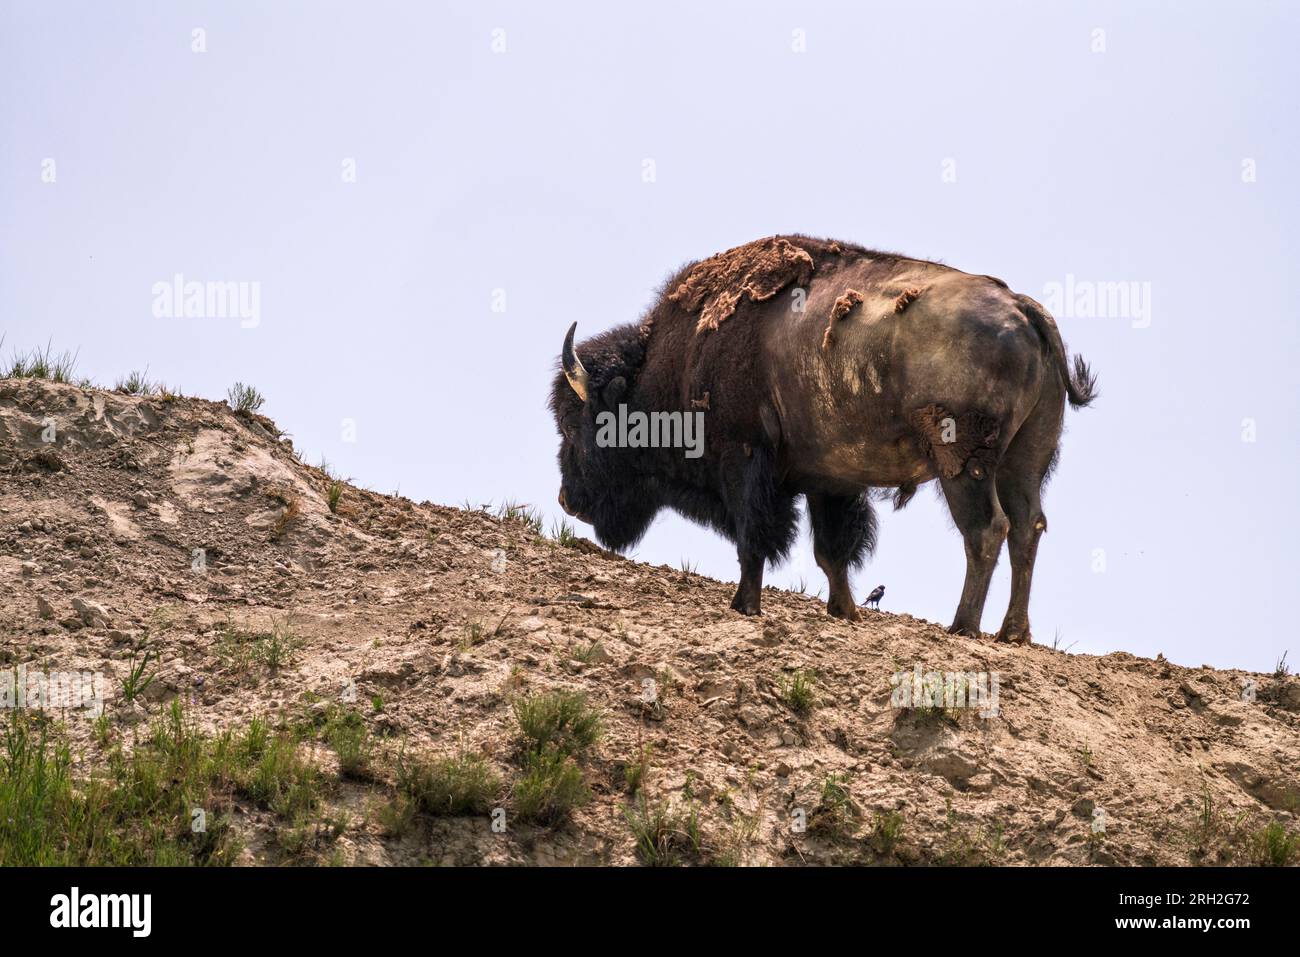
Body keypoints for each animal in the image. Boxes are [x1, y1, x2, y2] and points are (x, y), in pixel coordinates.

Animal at [550, 235, 1095, 644]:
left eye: (577, 424)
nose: (567, 500)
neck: (685, 358)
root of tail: (1024, 309)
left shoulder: (746, 461)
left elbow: (755, 539)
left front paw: (744, 605)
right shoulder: (828, 481)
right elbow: (831, 551)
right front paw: (844, 611)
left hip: (963, 464)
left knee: (986, 530)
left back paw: (962, 626)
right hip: (1023, 461)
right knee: (1027, 526)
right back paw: (1012, 632)